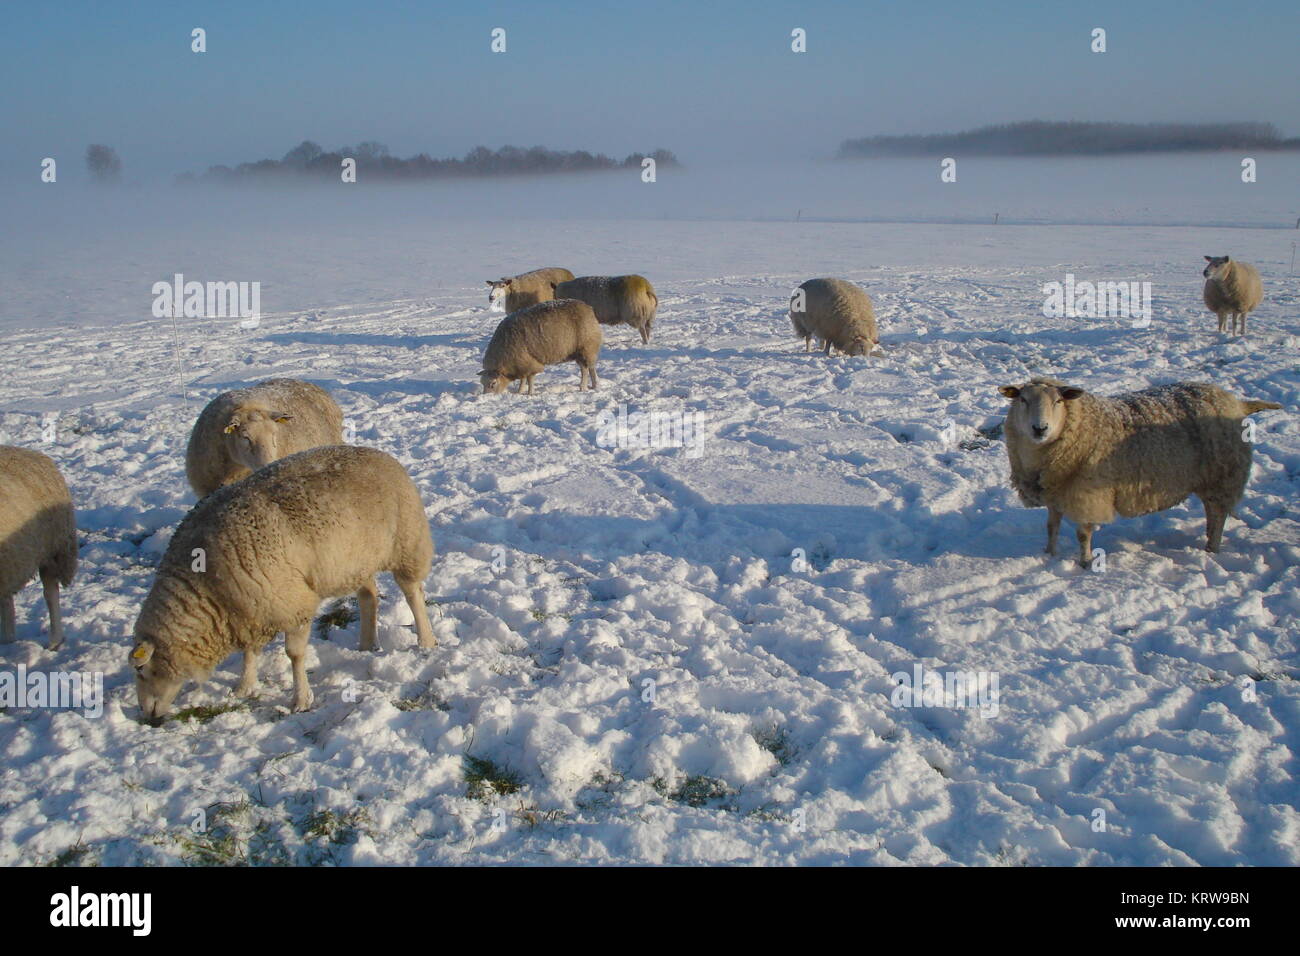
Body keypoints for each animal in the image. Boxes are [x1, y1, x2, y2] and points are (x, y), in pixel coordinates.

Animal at [0, 446, 77, 650]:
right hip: (12, 560)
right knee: (7, 601)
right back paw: (7, 640)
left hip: (51, 550)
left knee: (51, 594)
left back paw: (55, 641)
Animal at [129, 445, 437, 721]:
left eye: (141, 670)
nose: (146, 714)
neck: (206, 589)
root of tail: (381, 455)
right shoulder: (251, 608)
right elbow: (249, 651)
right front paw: (244, 686)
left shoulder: (289, 601)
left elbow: (295, 654)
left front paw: (301, 699)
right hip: (353, 561)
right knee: (368, 594)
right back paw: (367, 644)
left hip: (407, 544)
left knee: (412, 593)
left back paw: (426, 641)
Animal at [999, 376, 1282, 566]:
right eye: (1022, 399)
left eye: (1058, 401)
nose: (1040, 429)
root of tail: (1236, 402)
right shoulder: (1055, 492)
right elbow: (1051, 526)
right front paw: (1049, 553)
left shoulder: (1088, 494)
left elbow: (1083, 534)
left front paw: (1086, 562)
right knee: (1213, 513)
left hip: (1222, 475)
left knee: (1218, 514)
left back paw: (1212, 548)